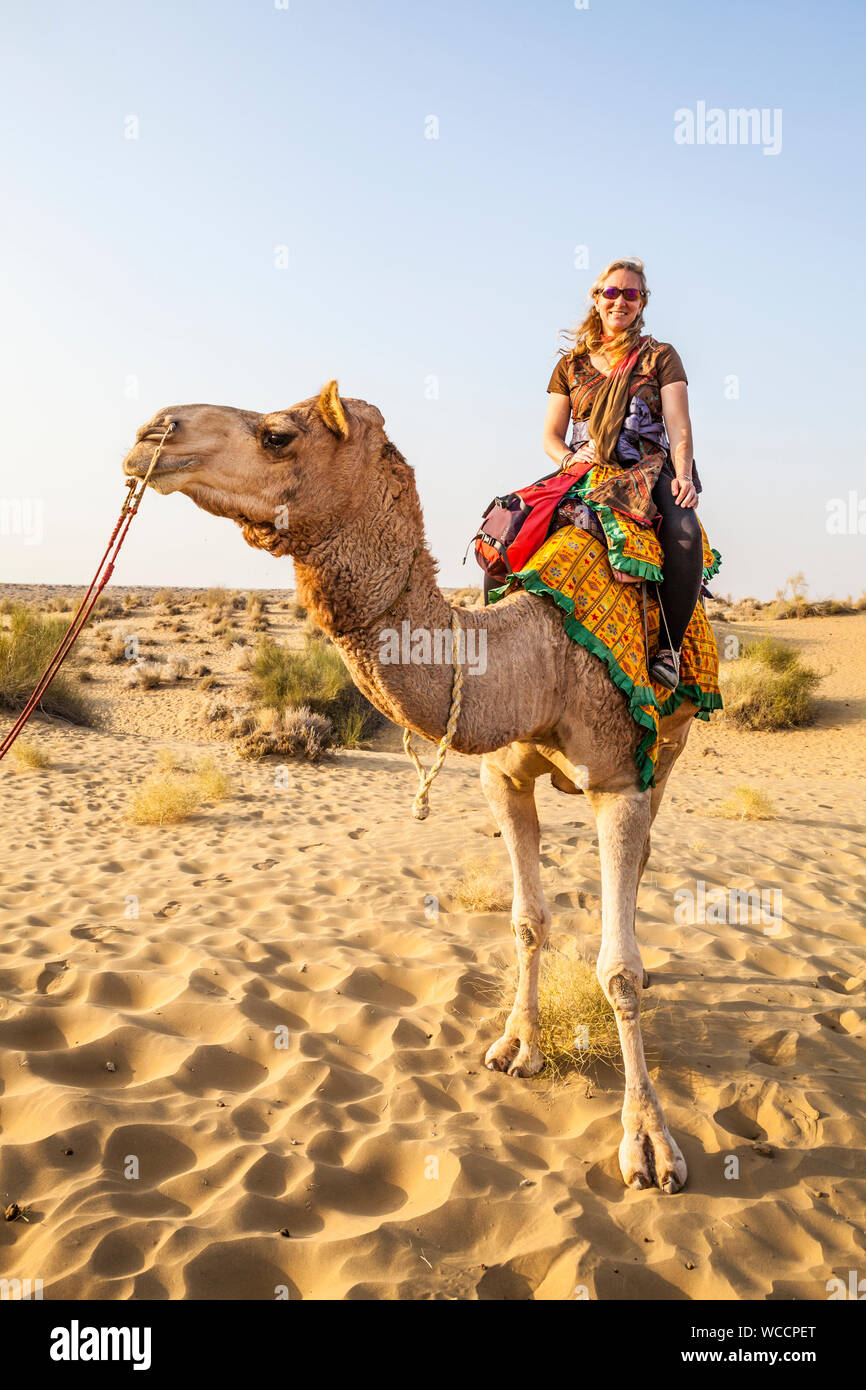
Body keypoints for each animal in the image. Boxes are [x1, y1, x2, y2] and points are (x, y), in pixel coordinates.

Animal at [123, 380, 700, 1193]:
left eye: (278, 435)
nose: (151, 433)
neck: (540, 660)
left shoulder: (620, 777)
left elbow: (618, 971)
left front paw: (648, 1141)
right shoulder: (502, 775)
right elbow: (527, 921)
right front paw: (517, 1046)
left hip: (670, 744)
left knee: (645, 851)